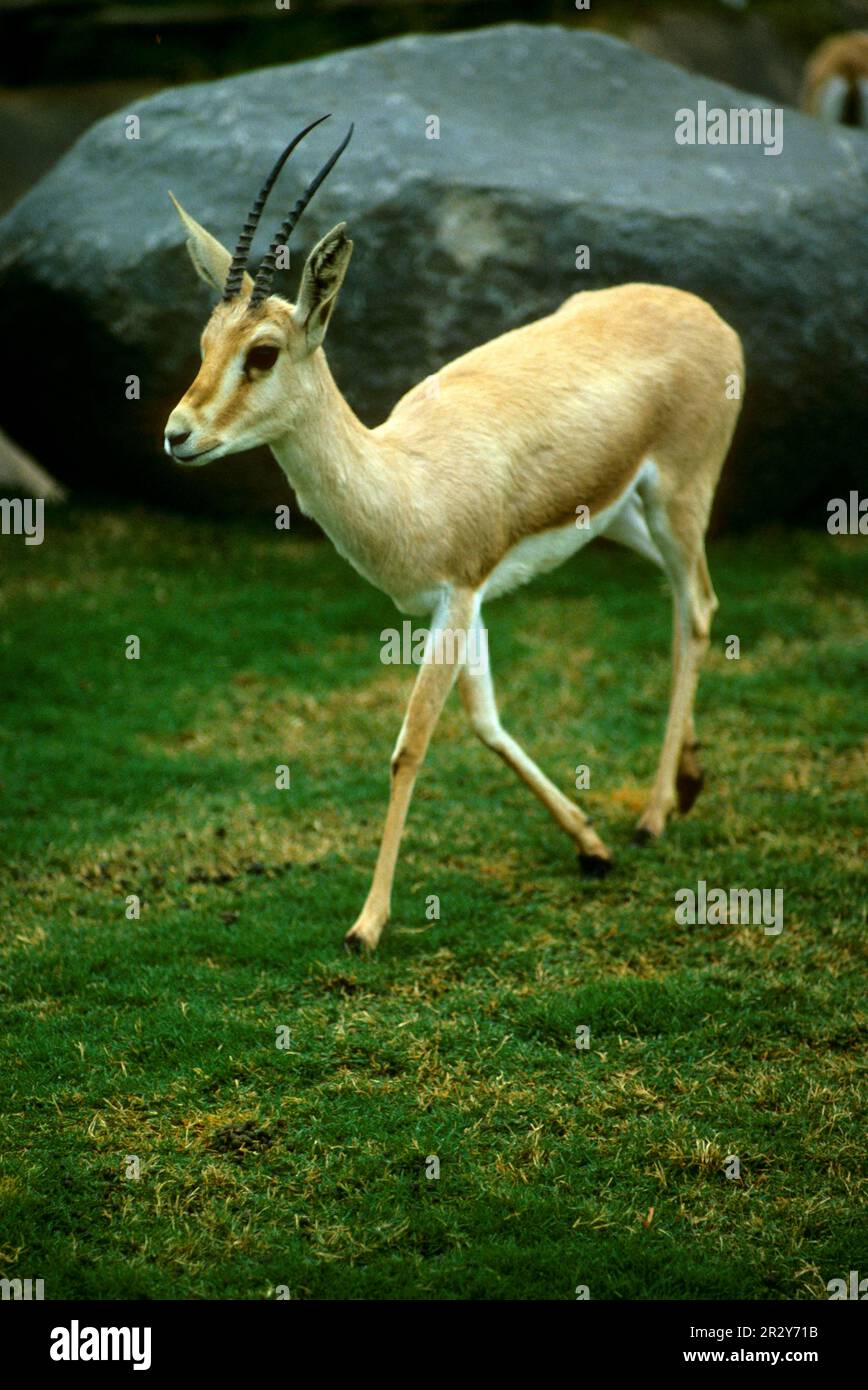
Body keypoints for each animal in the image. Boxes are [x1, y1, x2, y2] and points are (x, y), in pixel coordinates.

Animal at [164, 117, 744, 953]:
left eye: (263, 353)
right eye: (206, 344)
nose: (177, 435)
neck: (407, 482)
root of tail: (706, 313)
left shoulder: (458, 597)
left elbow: (412, 743)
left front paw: (367, 924)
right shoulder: (463, 607)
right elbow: (486, 720)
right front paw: (588, 844)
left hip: (679, 499)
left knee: (693, 610)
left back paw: (656, 813)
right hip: (623, 520)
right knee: (692, 598)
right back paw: (686, 784)